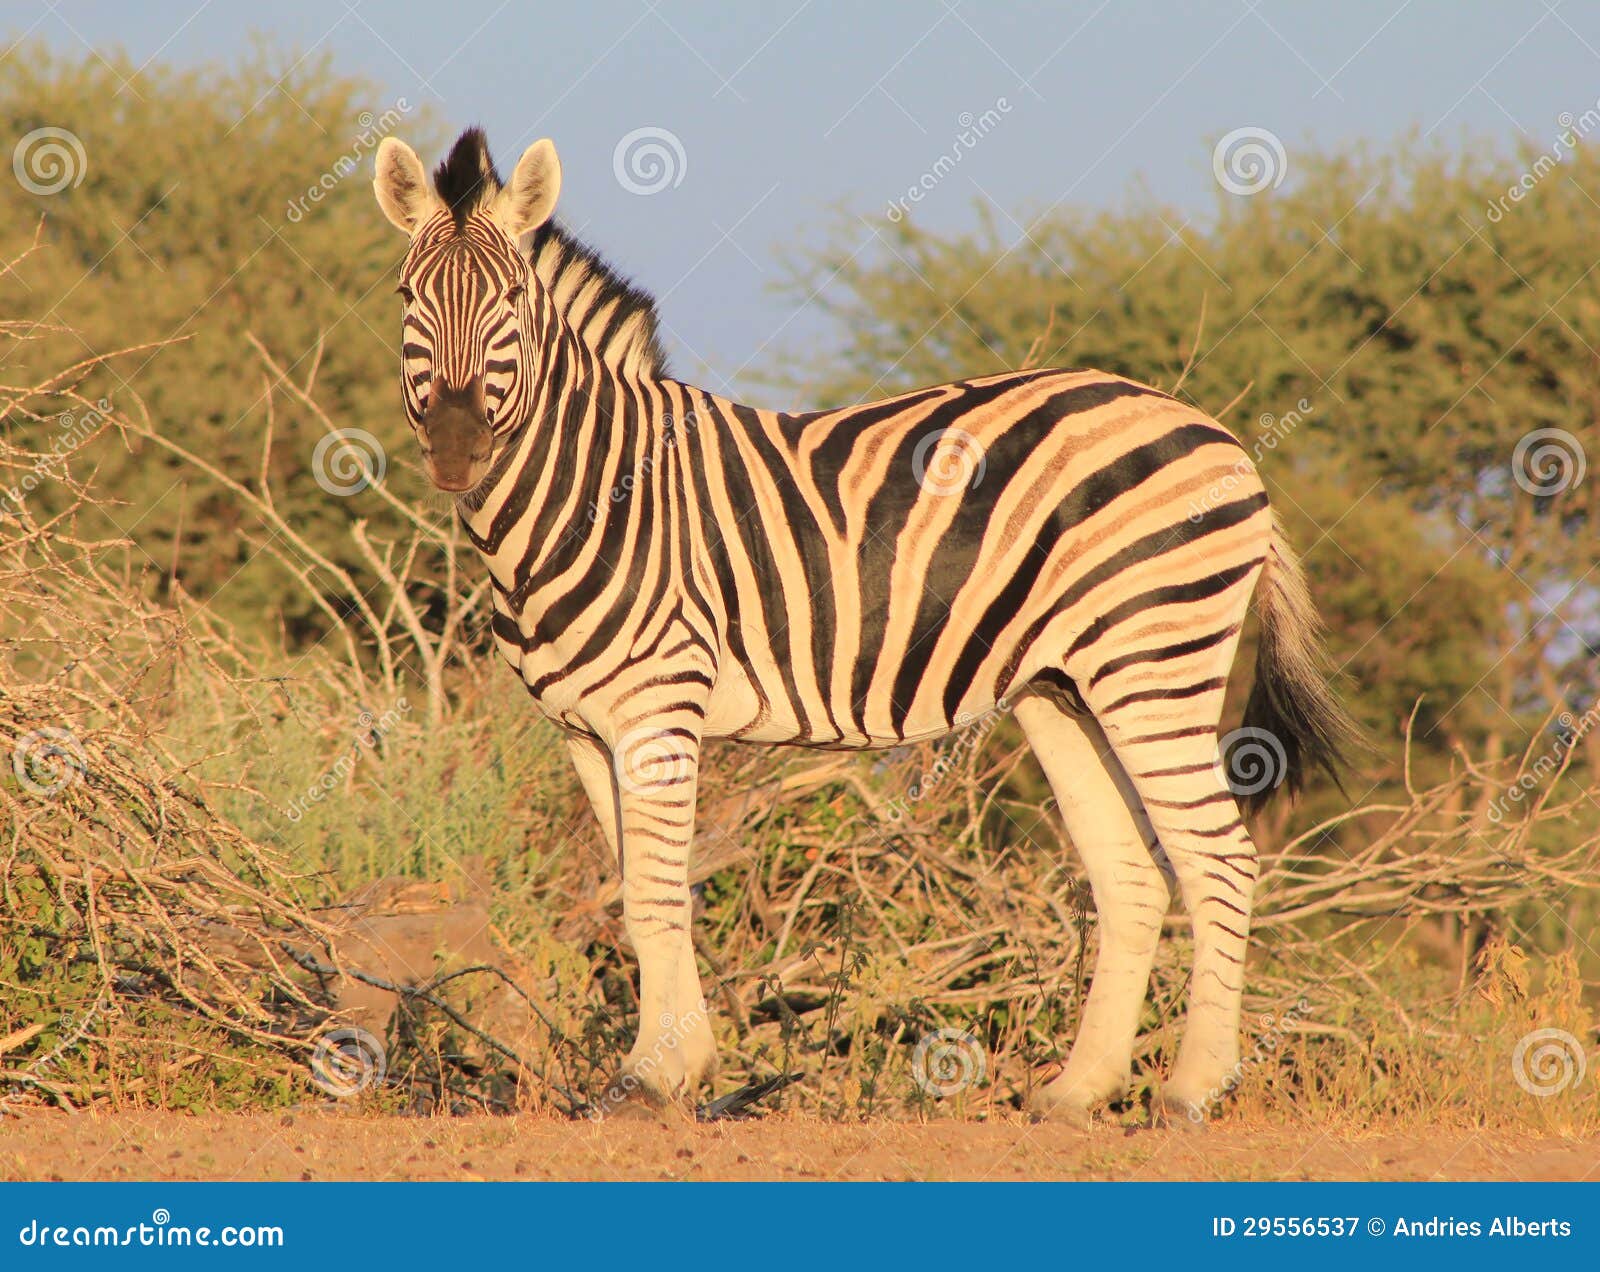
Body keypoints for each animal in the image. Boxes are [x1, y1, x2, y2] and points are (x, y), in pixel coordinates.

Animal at [372, 128, 1356, 1123]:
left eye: (510, 304)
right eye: (410, 299)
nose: (456, 453)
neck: (594, 490)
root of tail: (1217, 434)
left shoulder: (659, 708)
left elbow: (654, 898)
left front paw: (653, 1077)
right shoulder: (585, 727)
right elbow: (642, 897)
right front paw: (679, 1066)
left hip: (1154, 661)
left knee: (1220, 858)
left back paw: (1192, 1088)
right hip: (1065, 688)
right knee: (1131, 872)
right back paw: (1077, 1091)